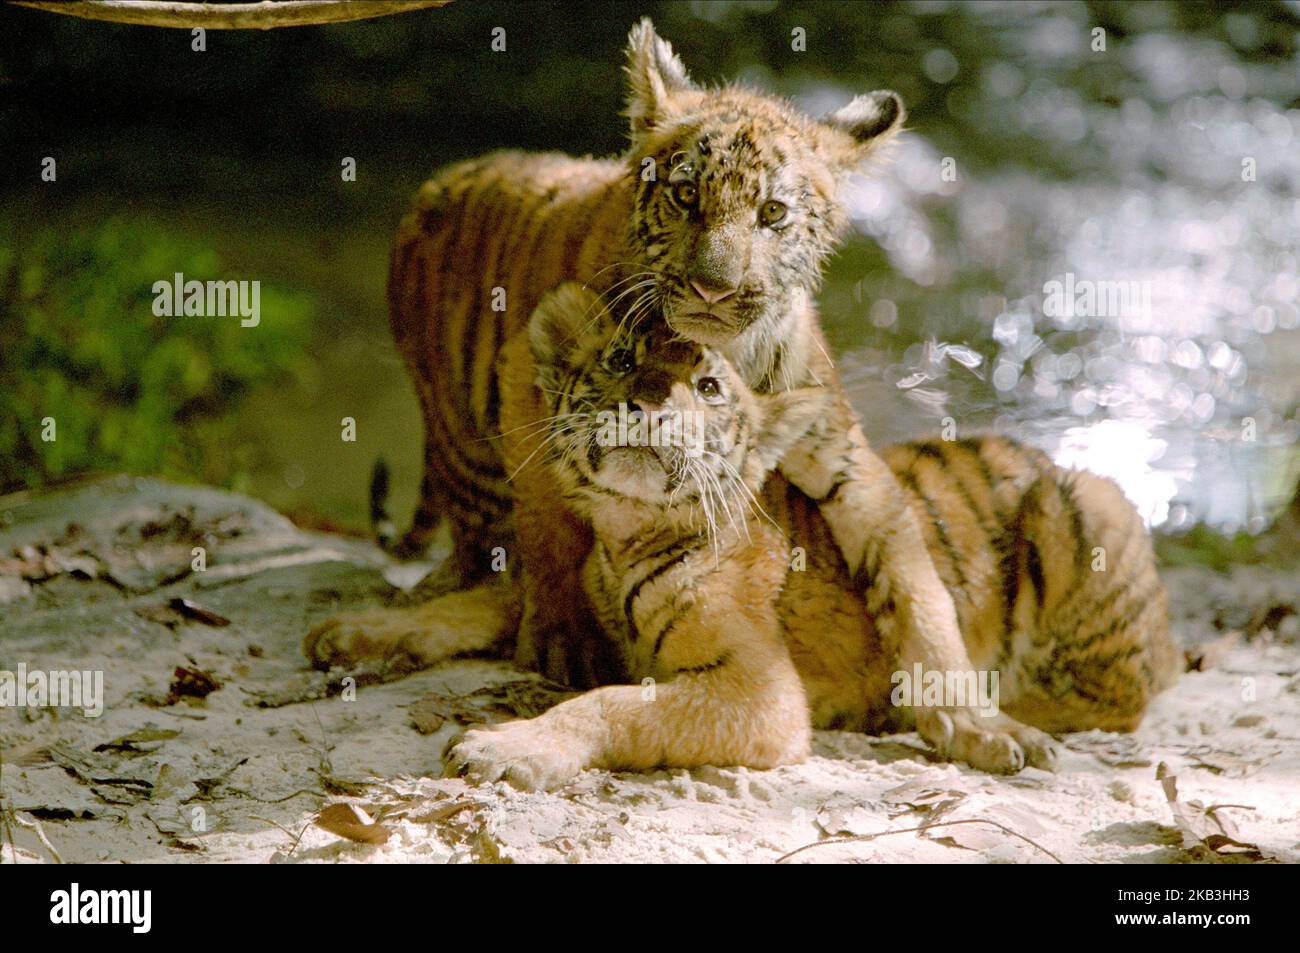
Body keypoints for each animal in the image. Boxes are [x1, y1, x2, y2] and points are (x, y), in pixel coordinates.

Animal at [312, 284, 1182, 788]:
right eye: (621, 358)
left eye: (706, 384)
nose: (649, 402)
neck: (624, 533)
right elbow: (474, 601)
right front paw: (354, 630)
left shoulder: (759, 690)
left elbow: (611, 702)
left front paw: (504, 747)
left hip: (1095, 506)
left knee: (1115, 696)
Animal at [323, 18, 1044, 773]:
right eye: (687, 195)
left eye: (772, 212)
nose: (714, 288)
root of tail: (441, 178)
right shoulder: (527, 375)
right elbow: (550, 522)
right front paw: (564, 636)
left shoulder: (844, 457)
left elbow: (915, 589)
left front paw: (976, 725)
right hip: (466, 453)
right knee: (482, 561)